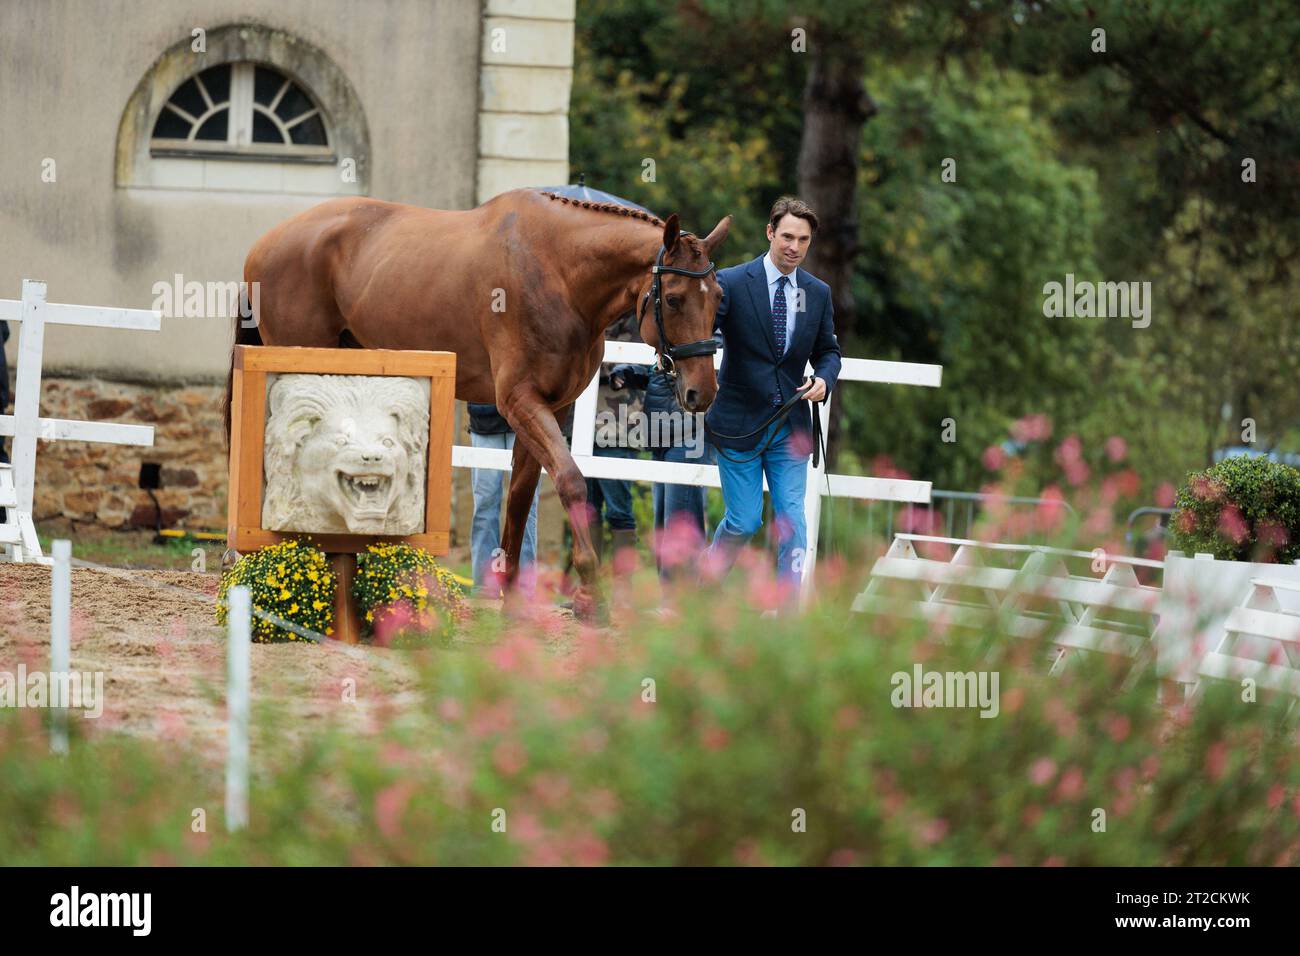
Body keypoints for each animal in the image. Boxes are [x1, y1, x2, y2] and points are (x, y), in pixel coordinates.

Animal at [230, 188, 731, 620]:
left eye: (720, 298)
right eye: (674, 299)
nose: (702, 393)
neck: (557, 271)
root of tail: (265, 242)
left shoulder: (550, 408)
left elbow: (521, 495)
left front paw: (511, 597)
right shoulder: (520, 401)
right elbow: (570, 480)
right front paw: (591, 592)